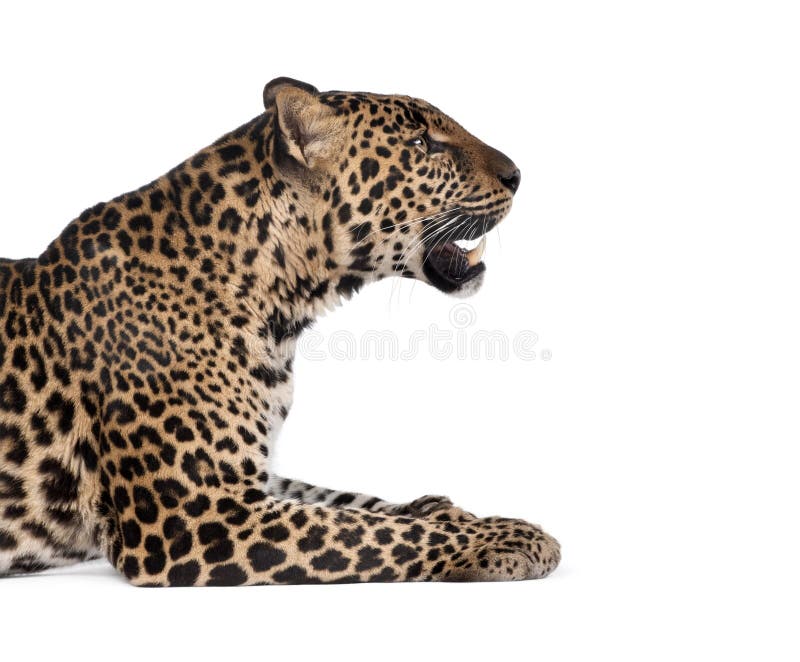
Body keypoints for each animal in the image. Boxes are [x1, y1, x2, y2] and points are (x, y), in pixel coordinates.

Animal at [0, 77, 560, 585]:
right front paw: (506, 538)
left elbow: (353, 502)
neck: (283, 309)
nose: (516, 175)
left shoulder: (254, 479)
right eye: (422, 145)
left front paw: (450, 511)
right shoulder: (196, 516)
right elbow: (366, 531)